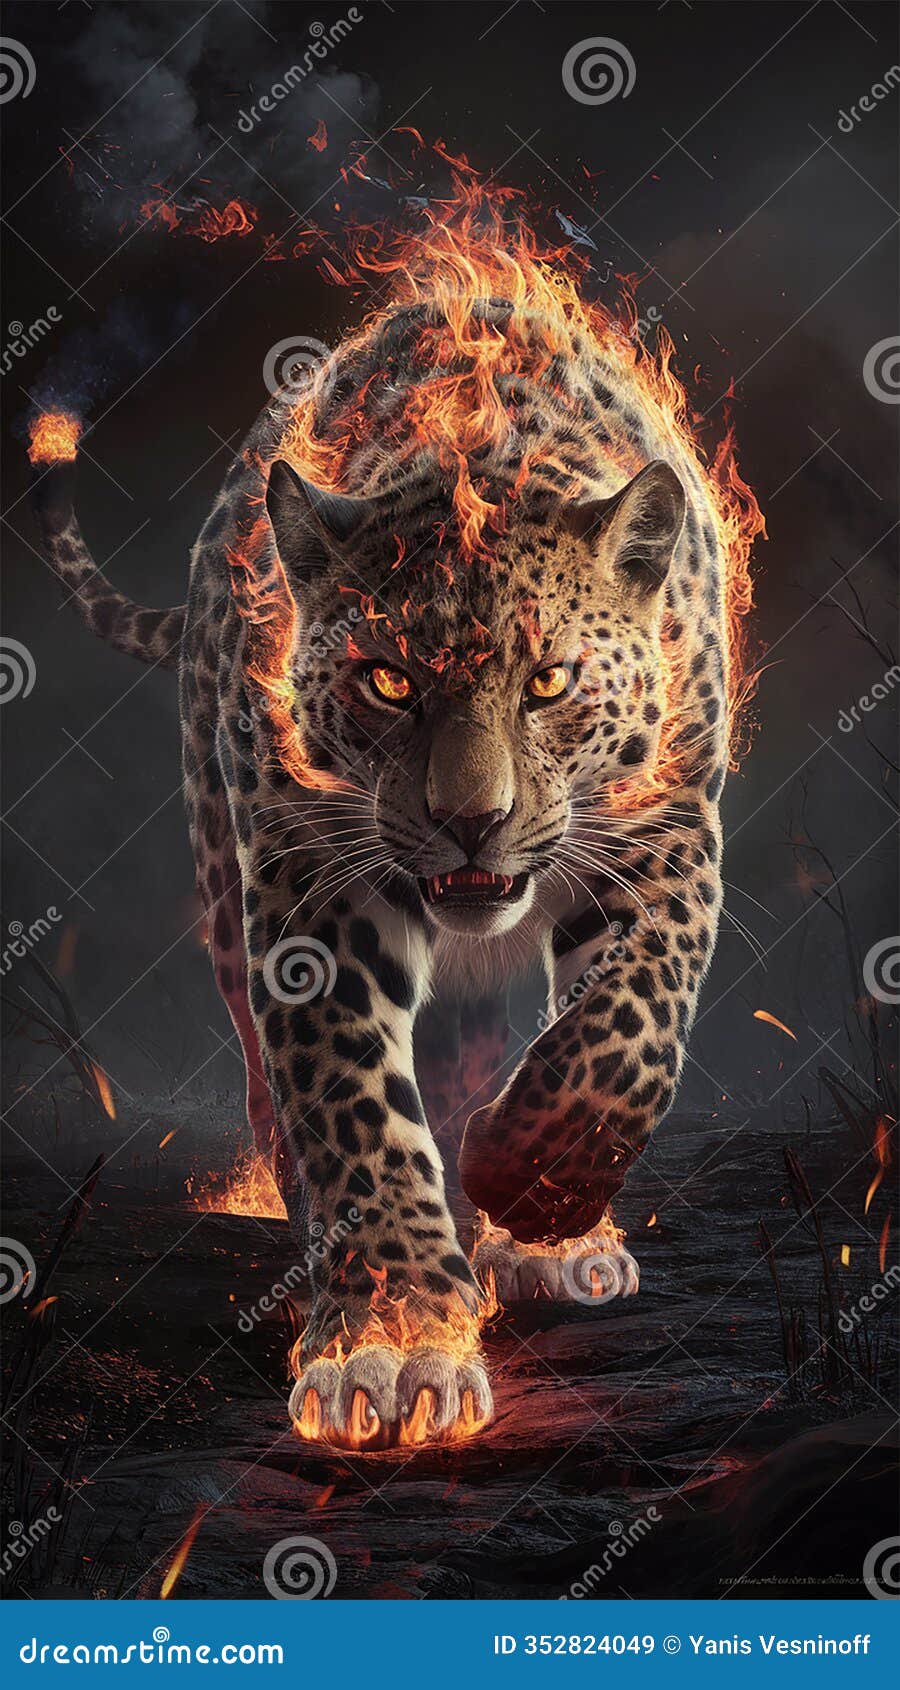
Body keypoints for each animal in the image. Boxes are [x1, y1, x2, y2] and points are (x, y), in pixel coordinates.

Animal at [30, 246, 754, 1449]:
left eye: (548, 681)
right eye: (387, 682)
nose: (472, 819)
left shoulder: (665, 832)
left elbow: (624, 1037)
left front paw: (530, 1187)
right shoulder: (309, 878)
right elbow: (353, 1102)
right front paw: (396, 1338)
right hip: (222, 869)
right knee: (269, 1073)